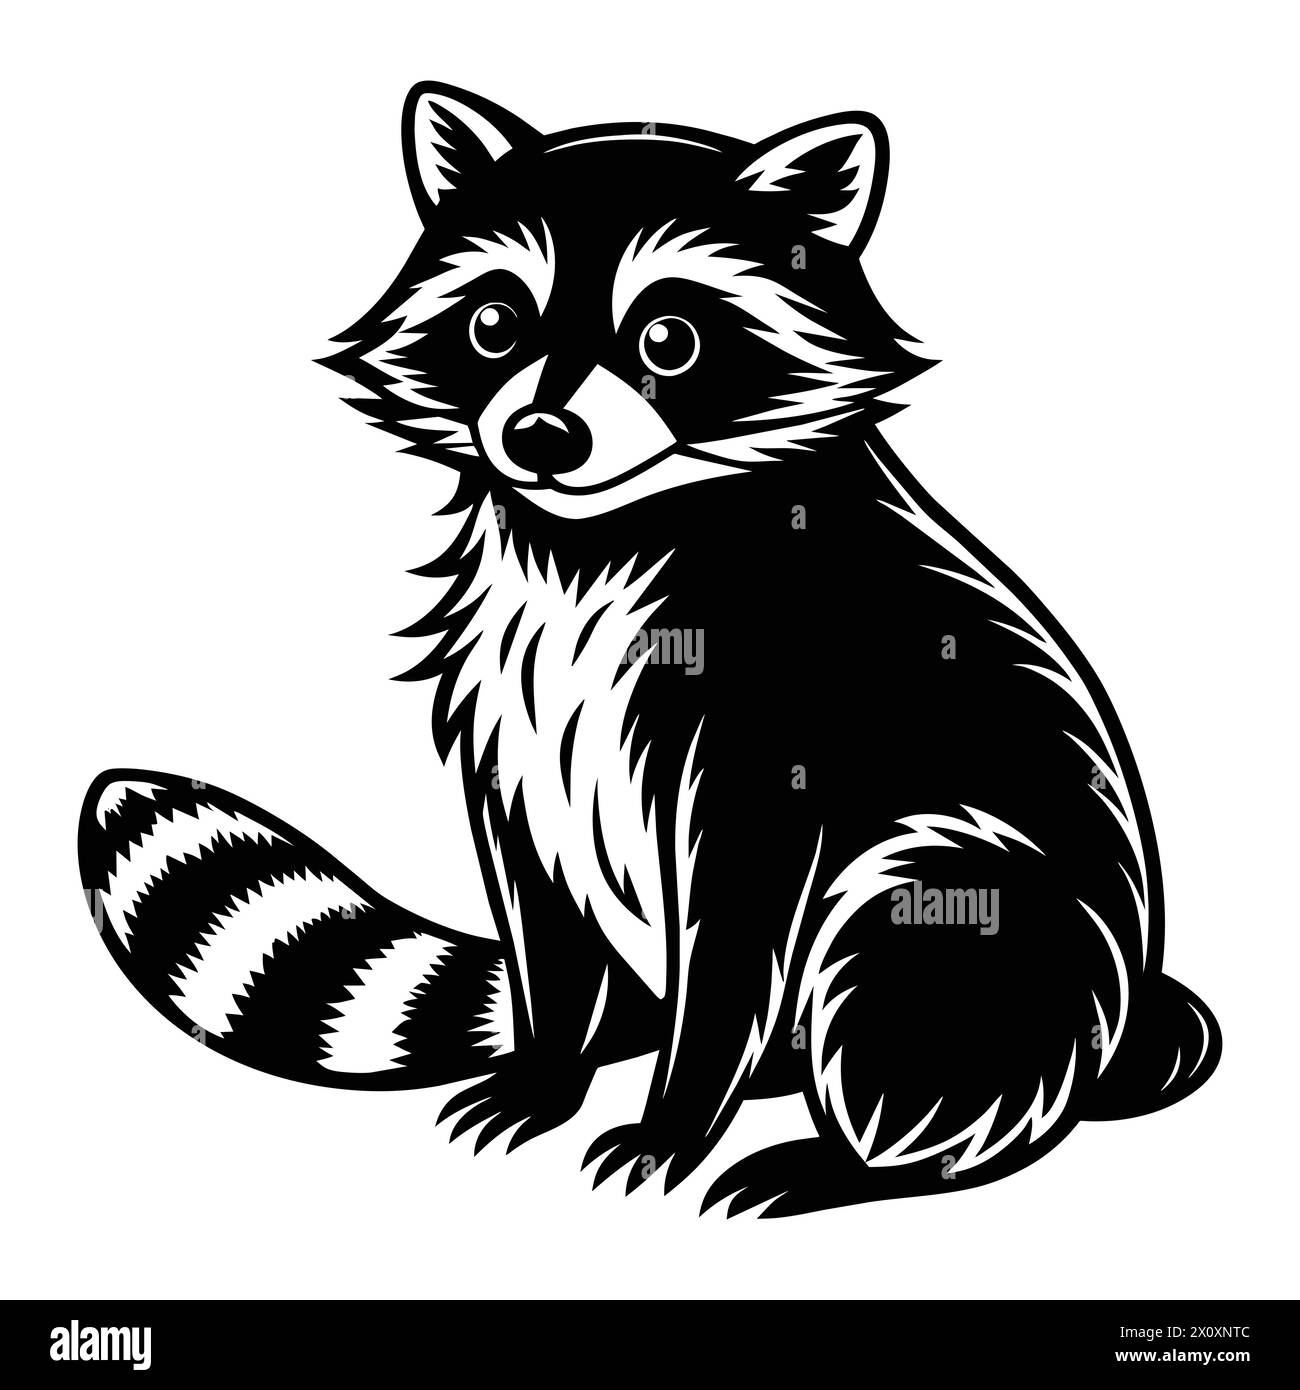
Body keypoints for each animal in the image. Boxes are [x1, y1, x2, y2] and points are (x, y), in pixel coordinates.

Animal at [78, 82, 1220, 1216]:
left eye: (669, 339)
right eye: (495, 322)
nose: (541, 436)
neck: (599, 535)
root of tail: (1124, 1023)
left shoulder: (781, 707)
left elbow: (736, 930)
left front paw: (678, 1116)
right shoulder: (515, 719)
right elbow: (540, 915)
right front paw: (548, 1070)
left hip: (986, 920)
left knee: (915, 945)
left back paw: (860, 1162)